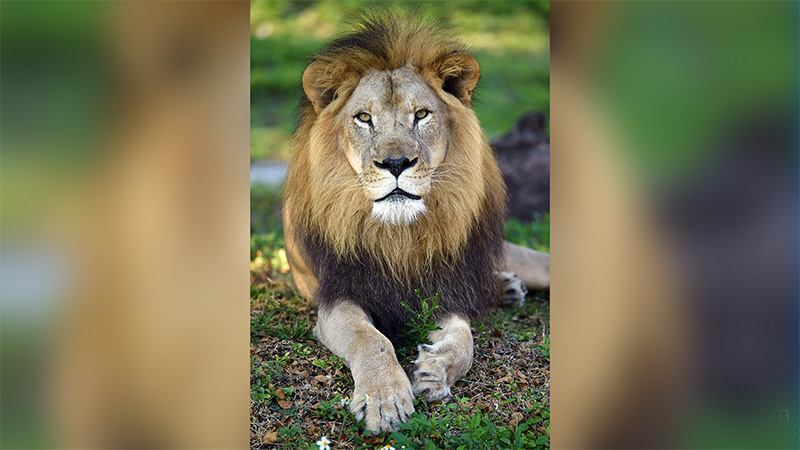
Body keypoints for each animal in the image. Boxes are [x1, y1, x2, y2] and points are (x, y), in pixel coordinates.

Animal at [282, 13, 550, 432]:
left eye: (421, 114)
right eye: (363, 118)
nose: (395, 163)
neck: (398, 236)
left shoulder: (442, 288)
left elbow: (465, 340)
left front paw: (435, 370)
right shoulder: (337, 299)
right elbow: (371, 340)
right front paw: (384, 398)